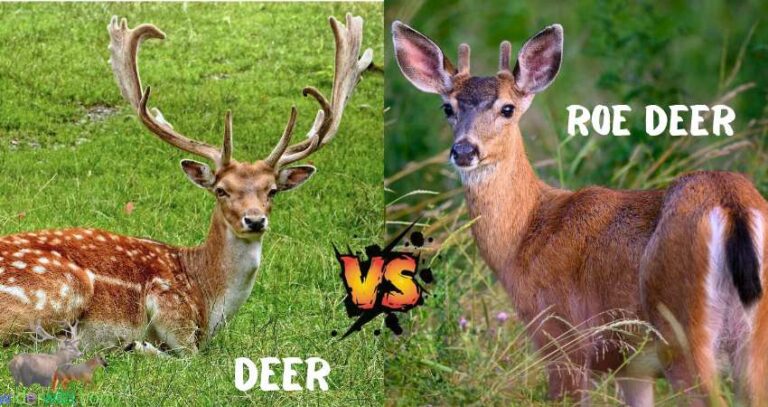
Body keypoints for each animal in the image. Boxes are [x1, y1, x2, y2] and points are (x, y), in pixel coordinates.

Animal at [0, 14, 371, 356]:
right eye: (221, 190)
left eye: (272, 191)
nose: (254, 220)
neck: (208, 299)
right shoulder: (170, 304)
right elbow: (190, 357)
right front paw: (141, 346)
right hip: (61, 290)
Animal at [393, 21, 768, 406]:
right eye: (447, 108)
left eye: (507, 108)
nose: (465, 150)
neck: (525, 236)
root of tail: (731, 204)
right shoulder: (631, 369)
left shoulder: (562, 339)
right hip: (752, 340)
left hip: (680, 329)